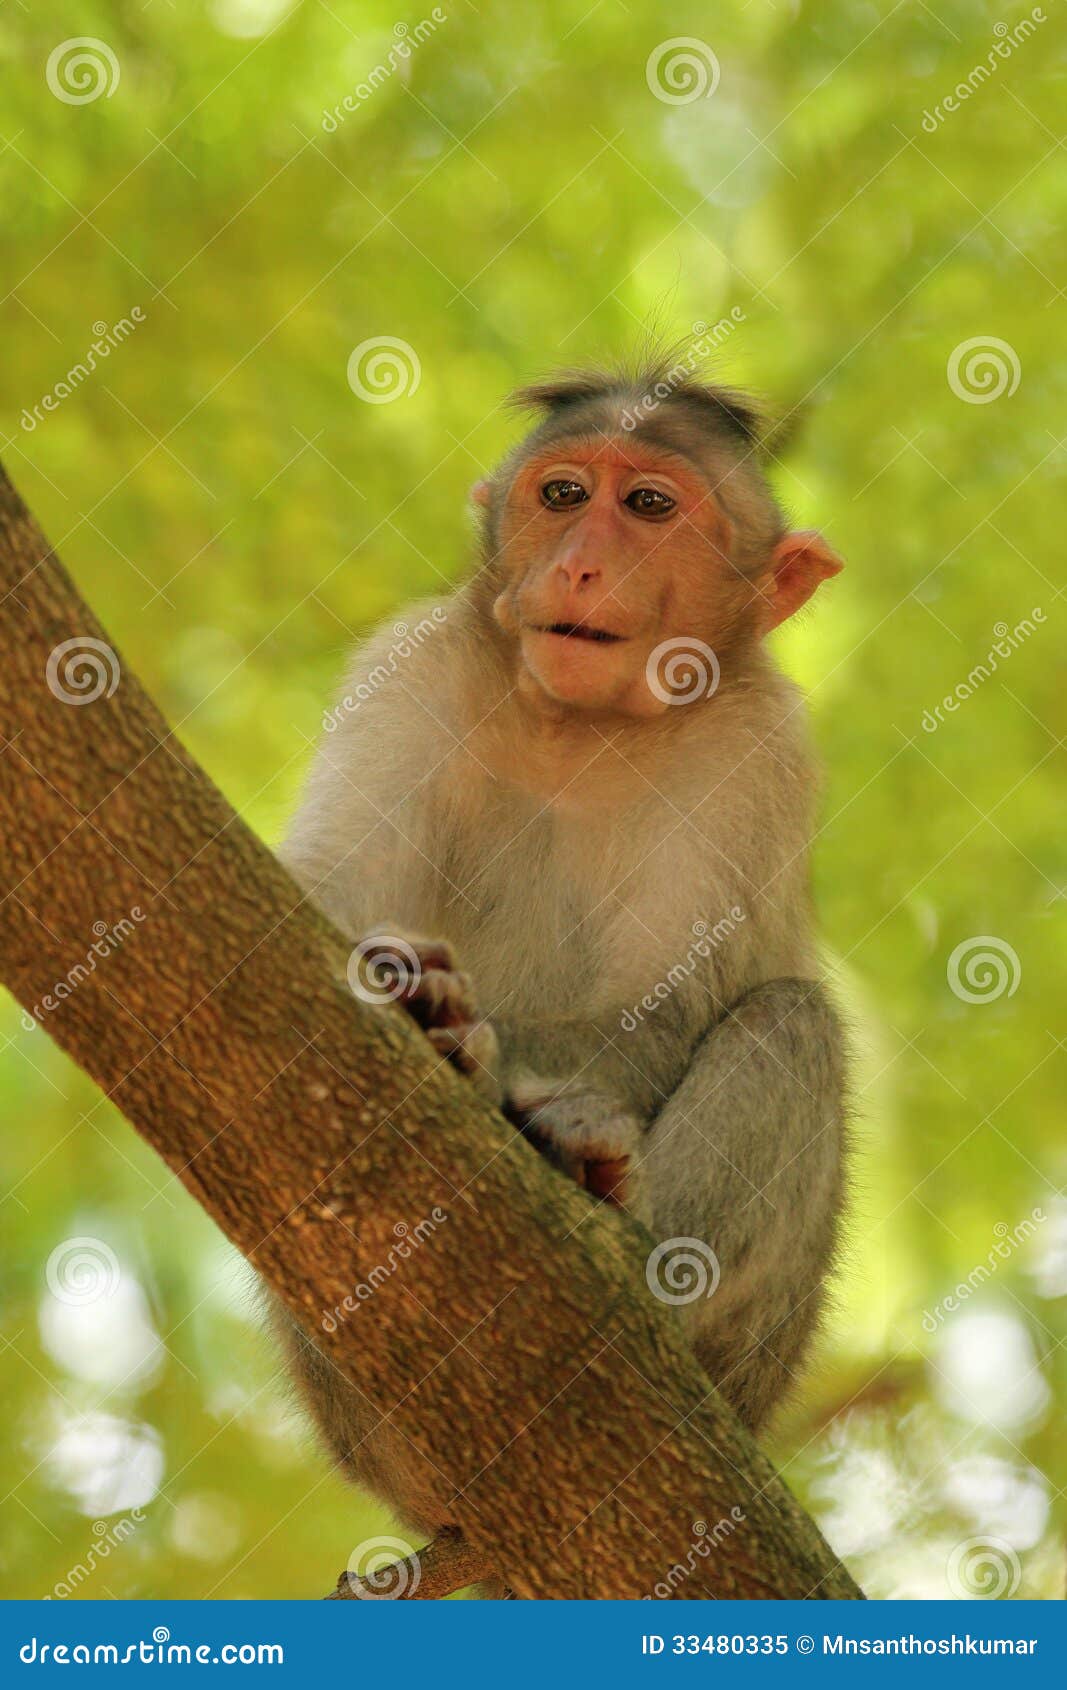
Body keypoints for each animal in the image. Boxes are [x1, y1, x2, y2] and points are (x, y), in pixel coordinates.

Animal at [272, 357, 849, 1547]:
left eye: (649, 506)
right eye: (563, 494)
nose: (578, 562)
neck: (579, 730)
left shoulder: (760, 741)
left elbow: (669, 1004)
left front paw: (480, 1039)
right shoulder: (414, 664)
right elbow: (318, 893)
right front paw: (424, 1003)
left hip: (761, 1355)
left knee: (789, 1023)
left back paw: (605, 1196)